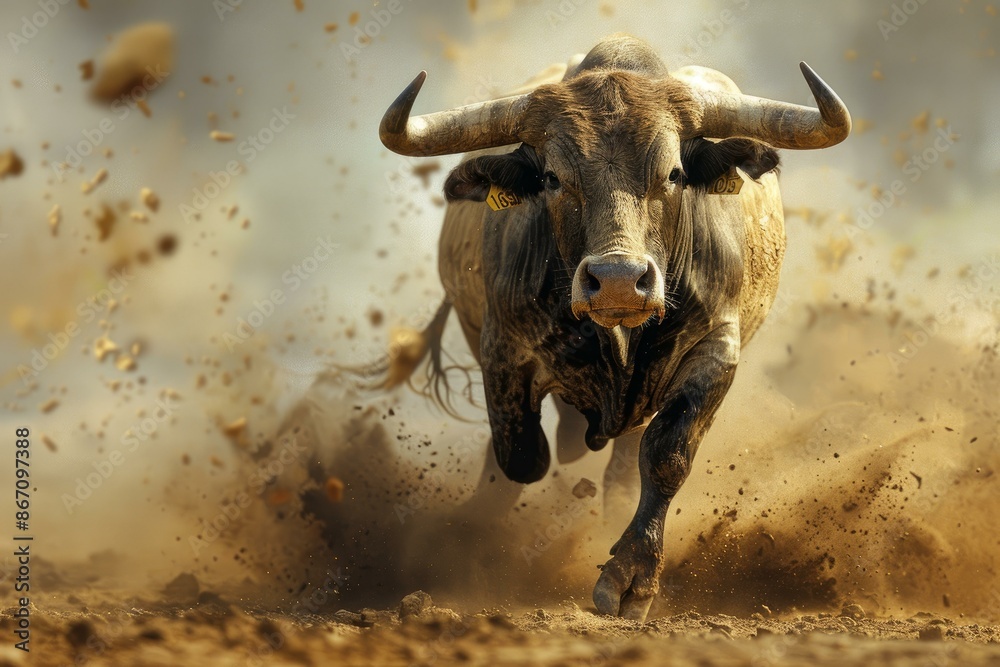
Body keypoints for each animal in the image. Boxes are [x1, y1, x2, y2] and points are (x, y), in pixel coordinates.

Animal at [377, 34, 850, 621]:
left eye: (673, 174)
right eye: (553, 177)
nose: (620, 281)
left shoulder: (715, 348)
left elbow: (665, 455)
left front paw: (630, 579)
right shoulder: (502, 349)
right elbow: (520, 457)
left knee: (625, 463)